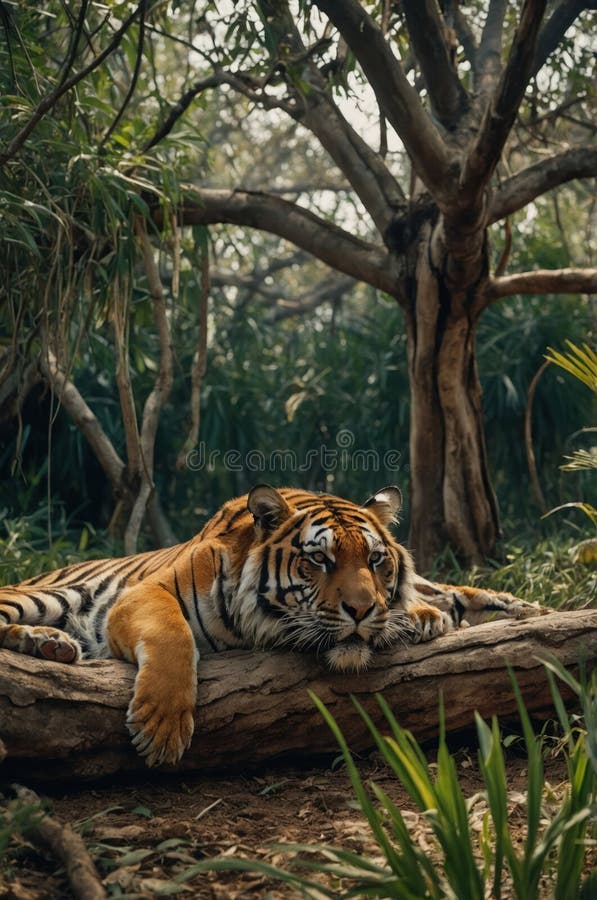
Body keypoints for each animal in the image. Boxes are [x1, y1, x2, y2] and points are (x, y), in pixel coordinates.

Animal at [0, 485, 545, 767]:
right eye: (320, 560)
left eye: (375, 560)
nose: (362, 609)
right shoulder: (143, 593)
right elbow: (172, 635)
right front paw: (161, 729)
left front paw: (420, 617)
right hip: (43, 595)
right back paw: (51, 642)